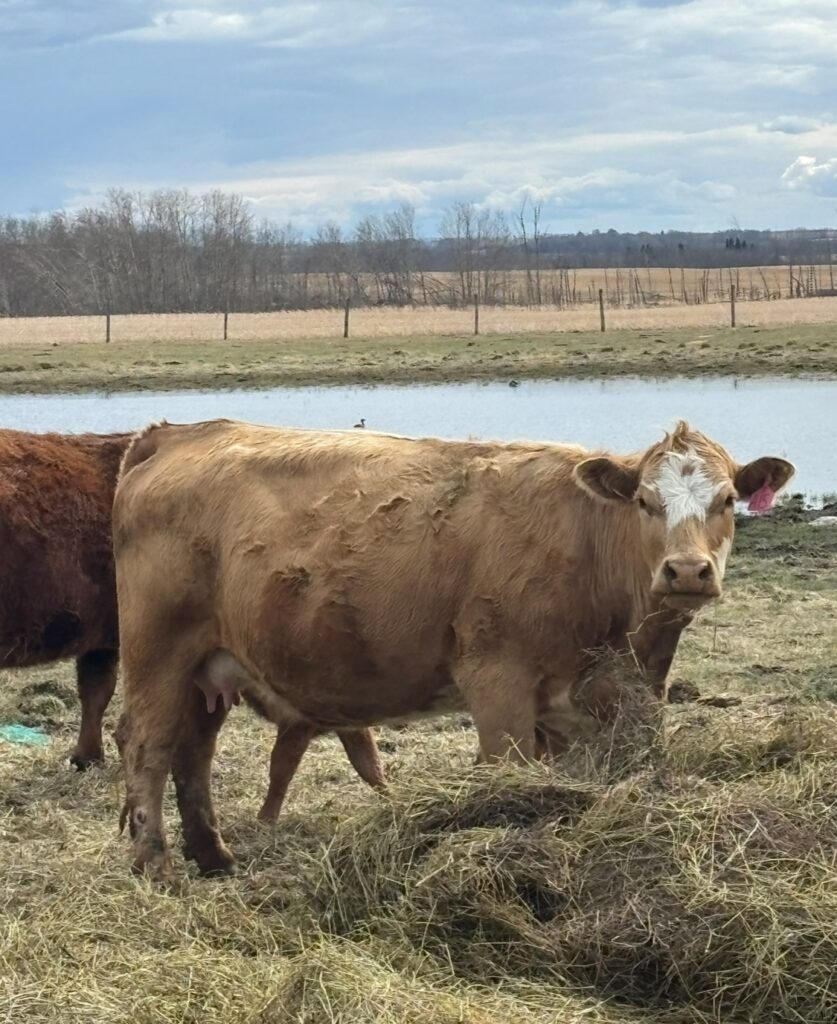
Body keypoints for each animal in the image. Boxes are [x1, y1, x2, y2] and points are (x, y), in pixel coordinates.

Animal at [112, 418, 794, 880]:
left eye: (727, 501)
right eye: (645, 502)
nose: (686, 571)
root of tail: (176, 434)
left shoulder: (591, 706)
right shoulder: (498, 681)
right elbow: (505, 771)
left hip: (210, 667)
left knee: (193, 751)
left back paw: (213, 856)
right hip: (159, 651)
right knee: (148, 746)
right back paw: (157, 865)